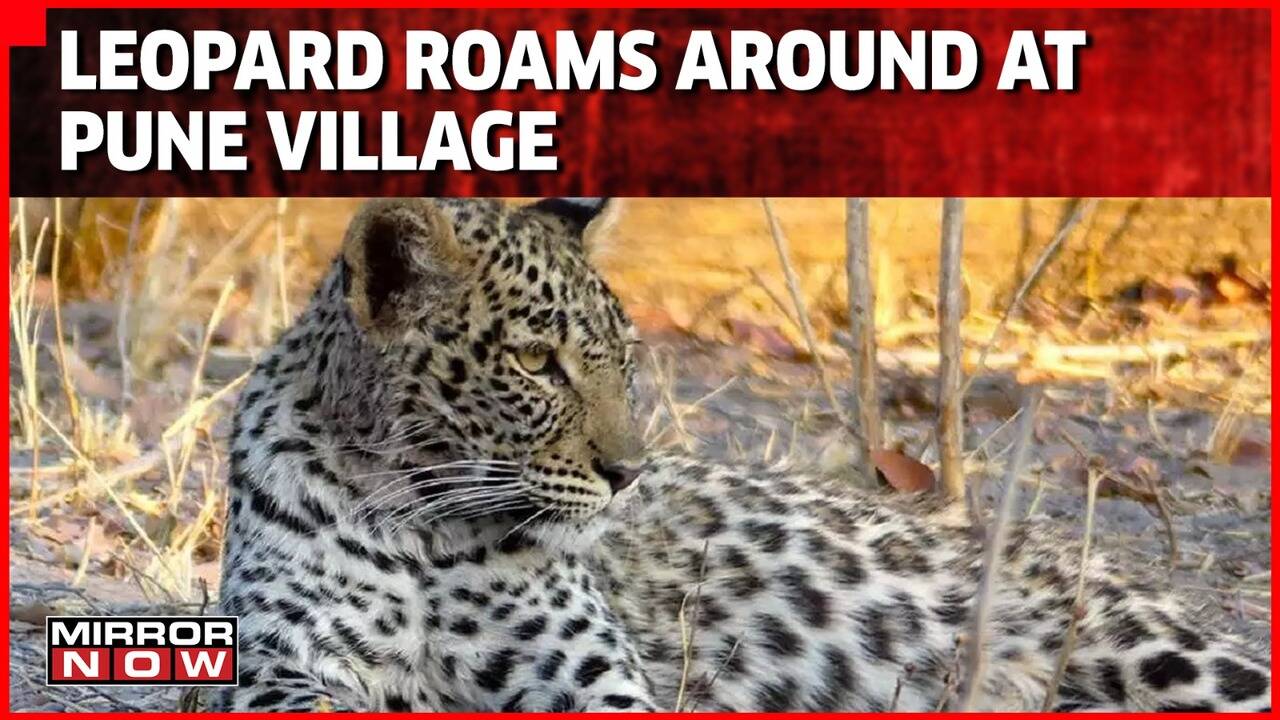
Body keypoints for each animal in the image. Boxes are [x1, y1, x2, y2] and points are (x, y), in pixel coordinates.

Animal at [212, 196, 1271, 712]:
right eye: (535, 361)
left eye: (623, 358)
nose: (629, 475)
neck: (421, 528)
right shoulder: (278, 661)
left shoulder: (589, 675)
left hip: (1140, 645)